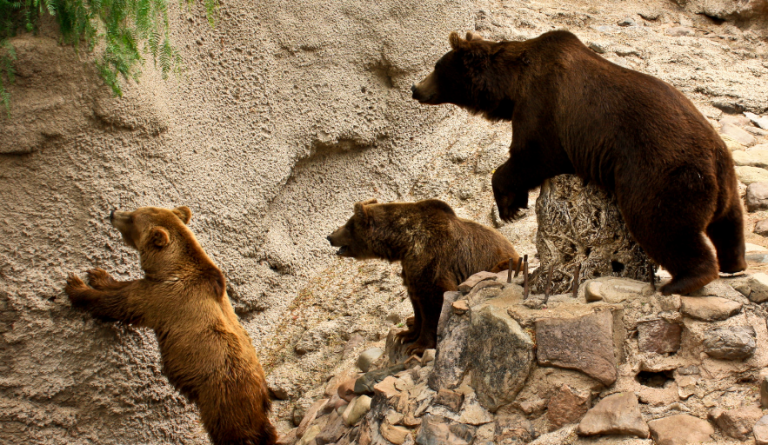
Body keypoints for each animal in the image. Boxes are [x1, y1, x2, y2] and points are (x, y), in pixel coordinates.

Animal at [65, 206, 277, 445]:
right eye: (136, 209)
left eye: (132, 219)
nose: (113, 213)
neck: (168, 267)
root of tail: (262, 392)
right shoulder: (152, 288)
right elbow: (123, 288)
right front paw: (98, 275)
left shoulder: (163, 298)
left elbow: (118, 304)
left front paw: (76, 286)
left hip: (224, 399)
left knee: (235, 431)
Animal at [327, 198, 519, 355]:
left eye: (348, 225)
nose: (329, 236)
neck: (403, 243)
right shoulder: (411, 268)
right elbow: (416, 301)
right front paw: (405, 334)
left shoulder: (433, 257)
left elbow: (434, 301)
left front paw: (418, 346)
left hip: (501, 263)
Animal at [411, 30, 746, 296]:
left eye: (436, 67)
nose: (416, 88)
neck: (513, 85)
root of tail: (714, 157)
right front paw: (516, 204)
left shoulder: (546, 105)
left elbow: (531, 155)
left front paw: (509, 206)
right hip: (724, 175)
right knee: (729, 222)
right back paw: (734, 263)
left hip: (662, 173)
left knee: (663, 225)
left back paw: (684, 280)